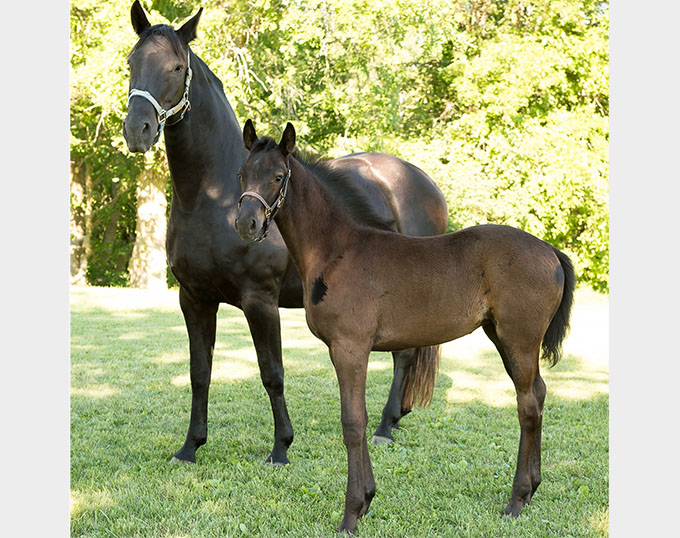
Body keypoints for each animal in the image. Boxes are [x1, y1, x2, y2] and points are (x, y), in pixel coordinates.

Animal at [121, 1, 449, 466]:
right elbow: (199, 372)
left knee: (404, 353)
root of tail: (423, 182)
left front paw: (281, 447)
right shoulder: (194, 298)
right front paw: (190, 446)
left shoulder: (260, 300)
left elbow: (272, 373)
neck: (213, 195)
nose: (138, 130)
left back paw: (385, 426)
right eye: (132, 63)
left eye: (176, 66)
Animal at [235, 121, 576, 534]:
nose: (247, 224)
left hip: (519, 339)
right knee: (538, 395)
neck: (337, 250)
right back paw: (531, 490)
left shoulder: (350, 348)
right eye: (241, 174)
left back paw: (516, 500)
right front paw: (367, 500)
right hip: (501, 336)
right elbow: (357, 419)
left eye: (278, 177)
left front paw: (351, 513)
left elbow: (353, 423)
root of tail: (550, 251)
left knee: (527, 404)